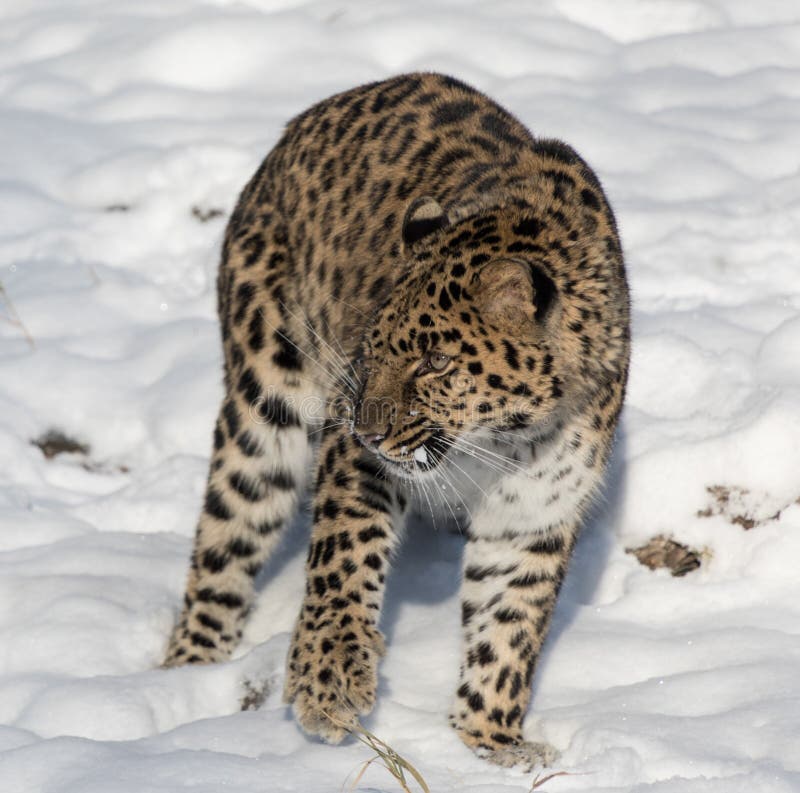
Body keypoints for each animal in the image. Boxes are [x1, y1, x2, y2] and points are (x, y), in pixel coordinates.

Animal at [162, 72, 630, 770]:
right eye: (372, 349)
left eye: (435, 361)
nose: (370, 430)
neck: (499, 439)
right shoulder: (352, 455)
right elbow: (344, 557)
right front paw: (328, 682)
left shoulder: (533, 511)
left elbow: (508, 630)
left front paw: (489, 745)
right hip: (263, 403)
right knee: (226, 540)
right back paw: (184, 679)